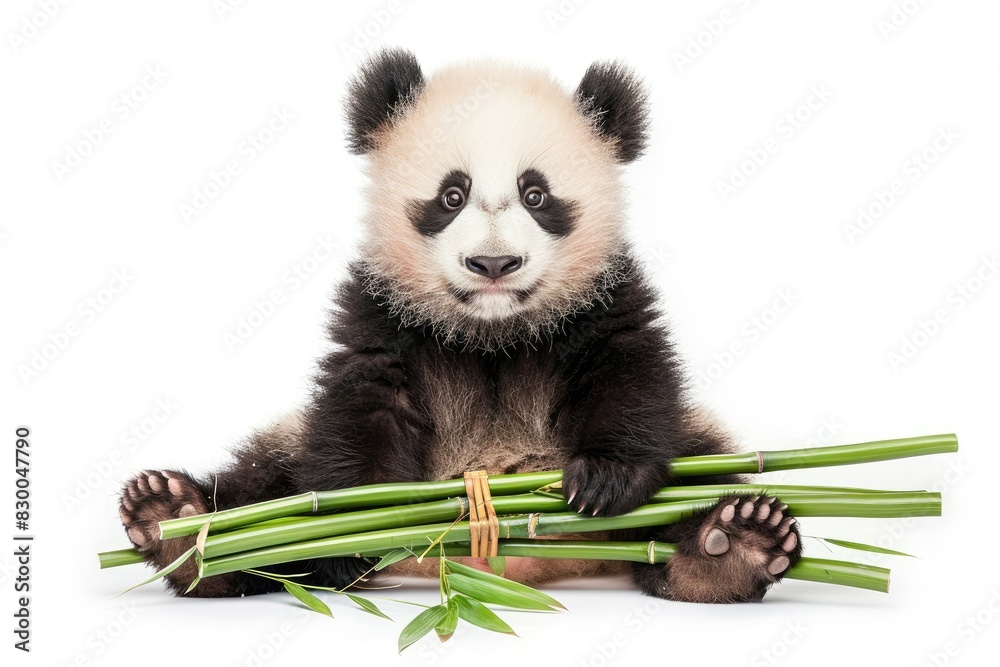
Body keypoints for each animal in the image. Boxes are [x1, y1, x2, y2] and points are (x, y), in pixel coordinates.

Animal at [119, 48, 801, 603]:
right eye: (452, 195)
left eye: (535, 194)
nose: (493, 264)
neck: (490, 331)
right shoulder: (381, 314)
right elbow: (359, 406)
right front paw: (363, 522)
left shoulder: (602, 301)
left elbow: (630, 373)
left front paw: (603, 477)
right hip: (289, 453)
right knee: (263, 501)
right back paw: (176, 525)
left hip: (694, 455)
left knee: (705, 478)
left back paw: (732, 546)